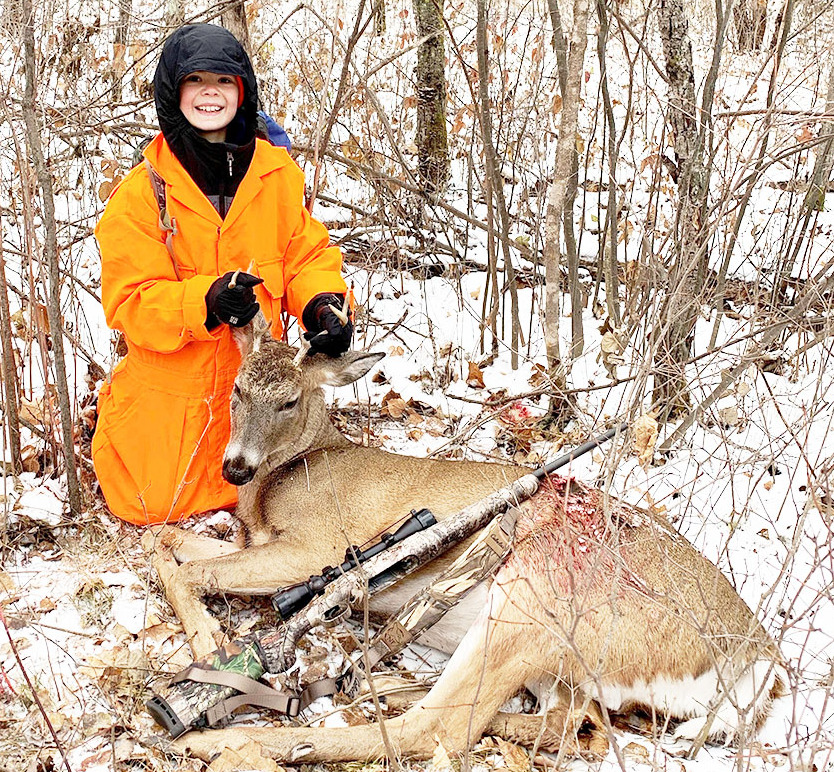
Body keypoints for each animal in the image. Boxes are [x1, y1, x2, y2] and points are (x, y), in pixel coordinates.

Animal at [143, 318, 786, 765]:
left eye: (289, 400)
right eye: (237, 389)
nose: (235, 467)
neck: (296, 467)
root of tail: (756, 660)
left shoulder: (317, 546)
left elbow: (185, 568)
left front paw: (207, 646)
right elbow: (165, 543)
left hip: (536, 589)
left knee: (444, 726)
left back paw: (222, 742)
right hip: (565, 662)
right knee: (564, 723)